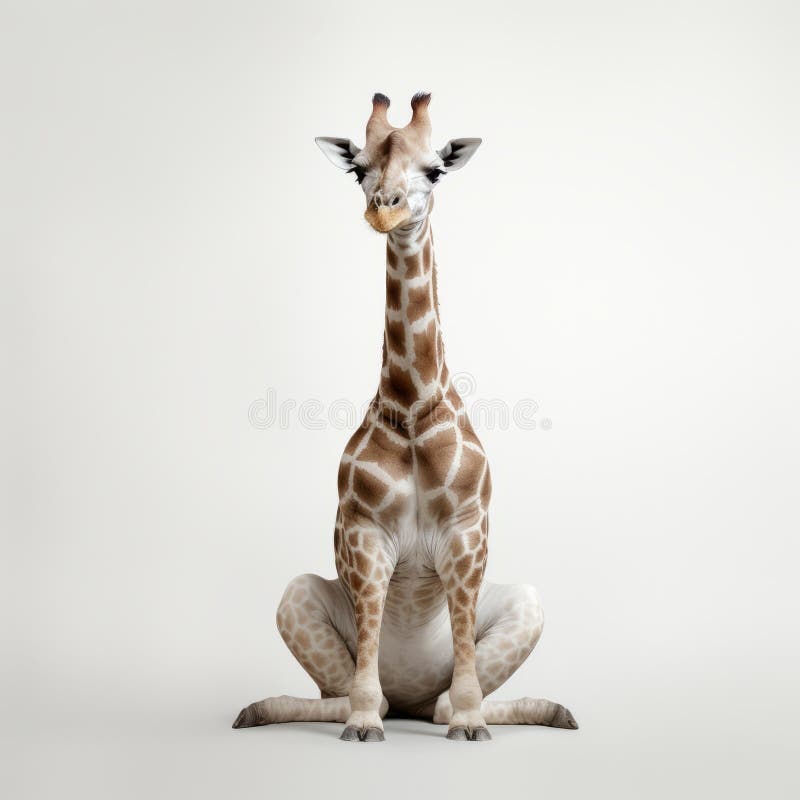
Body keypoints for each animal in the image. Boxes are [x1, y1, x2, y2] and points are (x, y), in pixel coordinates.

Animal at [233, 93, 577, 742]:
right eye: (358, 169)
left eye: (436, 170)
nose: (384, 210)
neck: (415, 405)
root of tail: (411, 696)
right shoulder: (366, 532)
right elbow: (362, 681)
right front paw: (365, 724)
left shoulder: (466, 531)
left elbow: (462, 684)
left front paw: (471, 723)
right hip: (296, 595)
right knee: (344, 696)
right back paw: (263, 709)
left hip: (526, 599)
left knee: (434, 703)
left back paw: (546, 711)